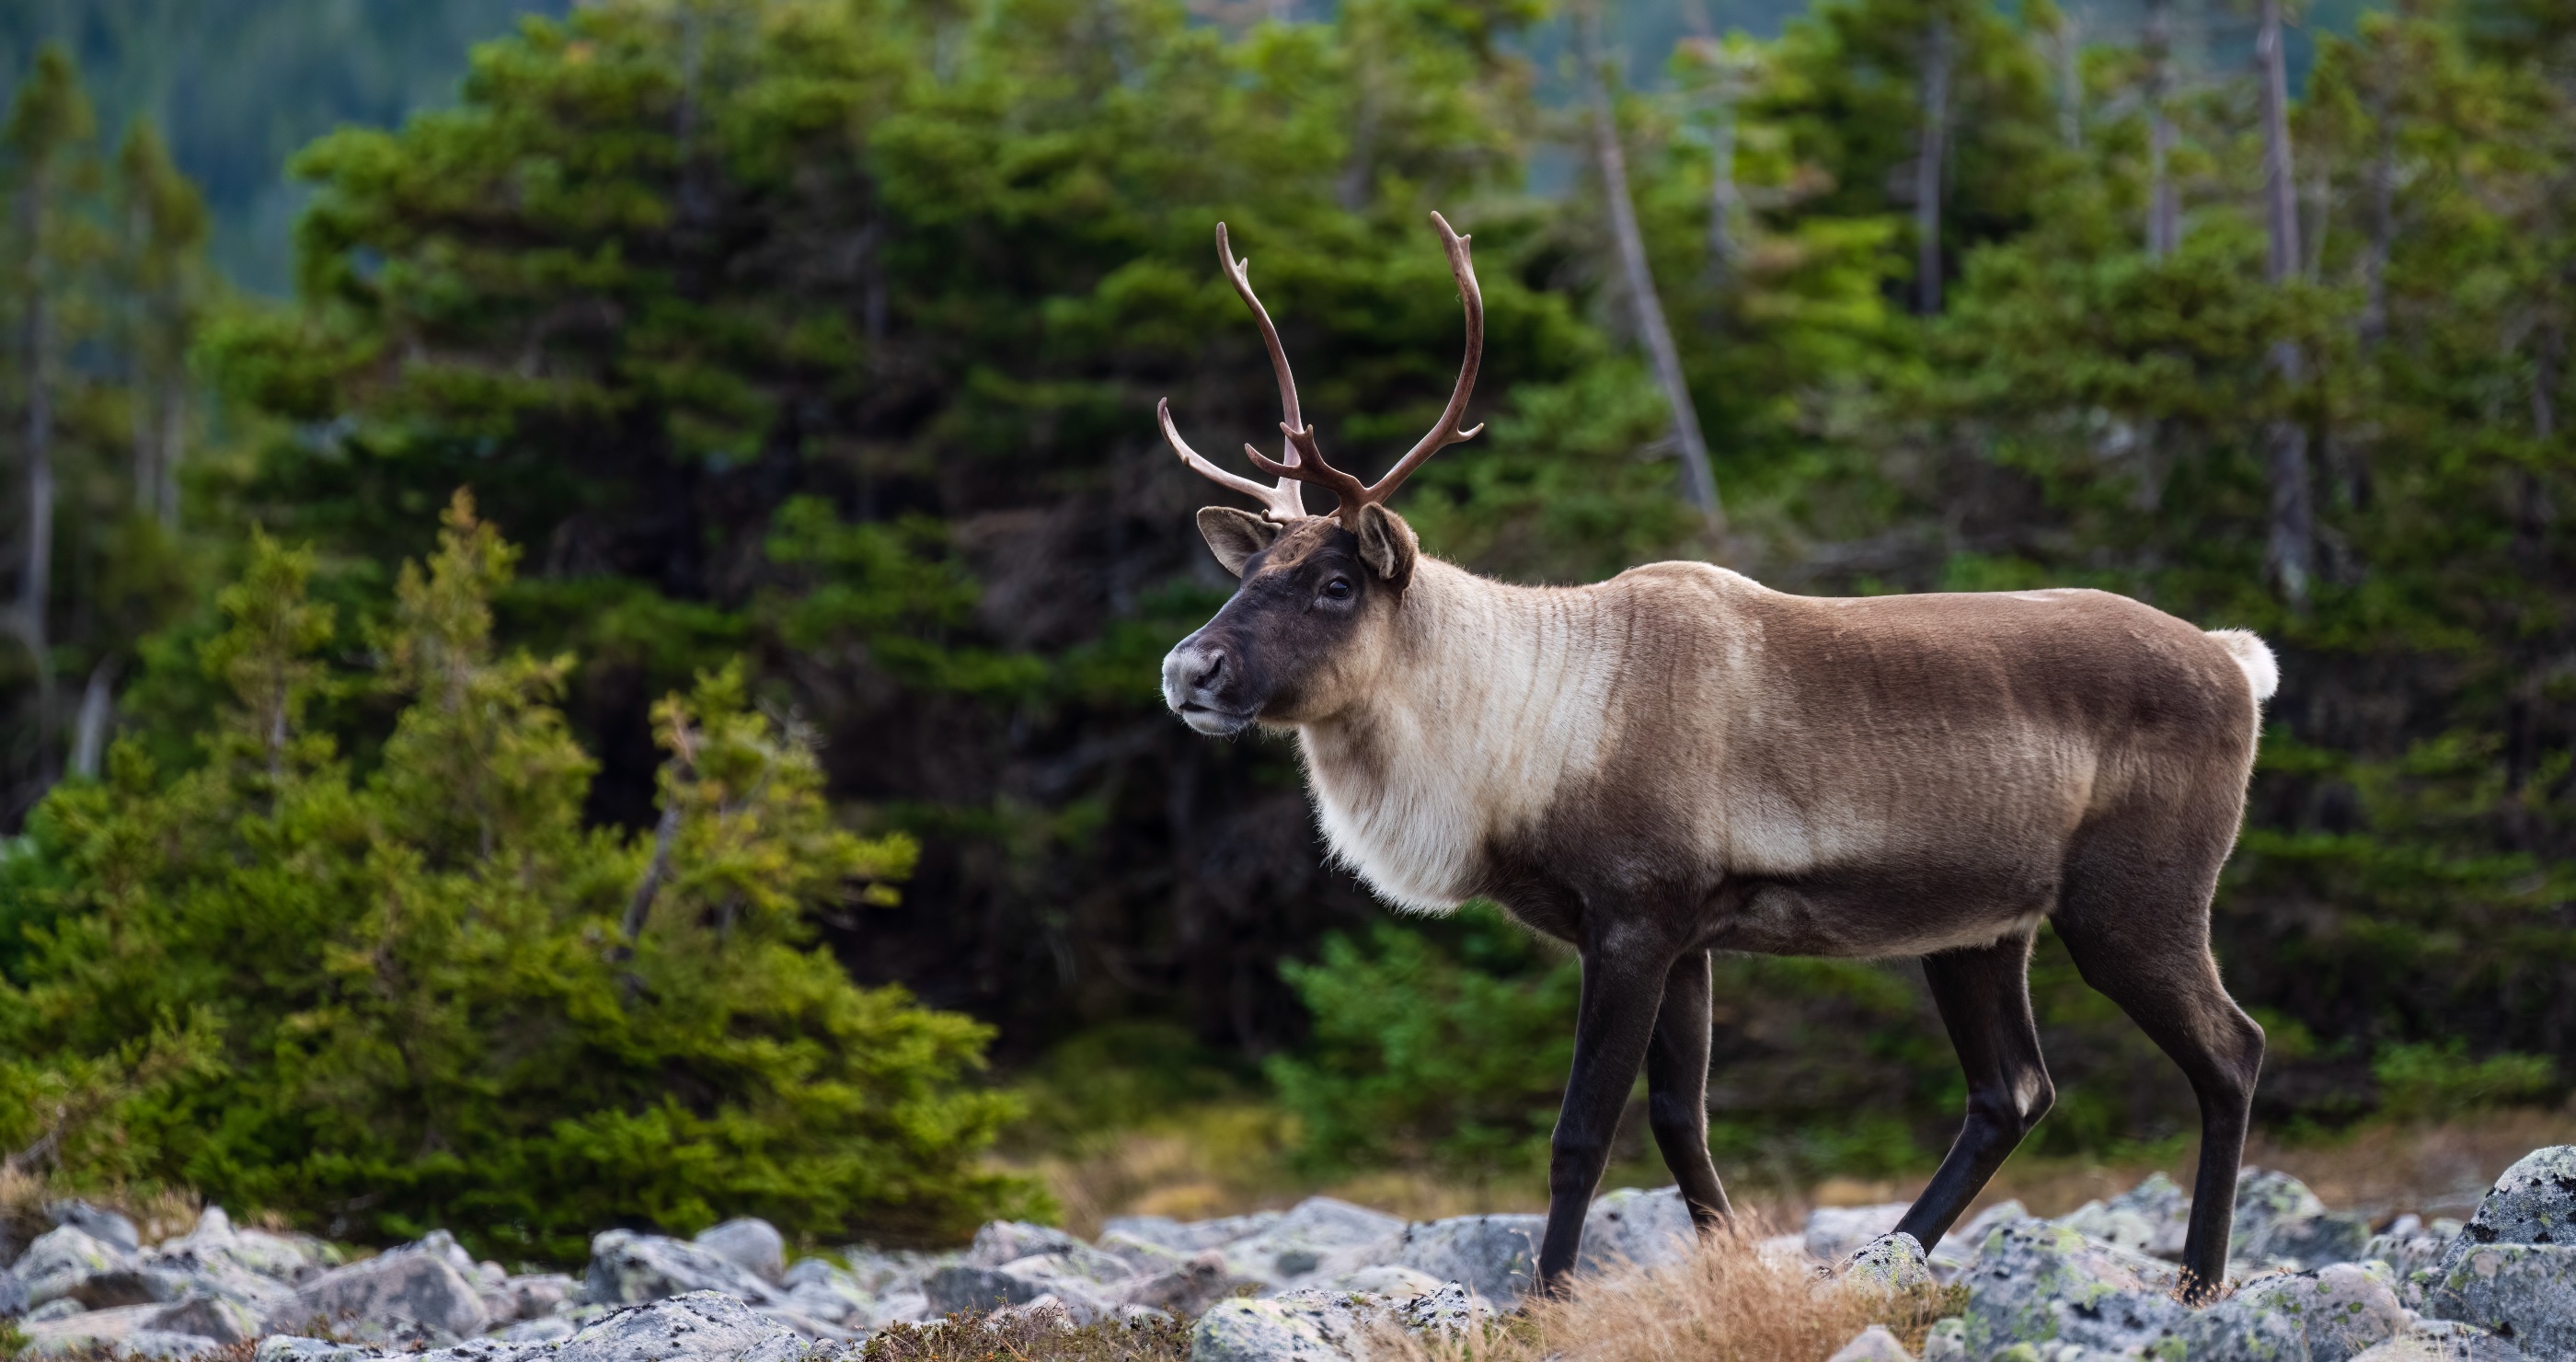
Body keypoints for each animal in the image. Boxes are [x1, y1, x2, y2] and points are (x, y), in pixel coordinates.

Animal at [1155, 213, 2277, 1304]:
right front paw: (1735, 1266)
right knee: (2012, 1092)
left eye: (1336, 583)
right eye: (1249, 569)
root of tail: (2236, 661)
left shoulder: (1635, 917)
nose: (1187, 668)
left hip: (2134, 900)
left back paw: (2198, 1283)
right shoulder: (1686, 937)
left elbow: (1582, 1133)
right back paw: (1879, 1264)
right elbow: (1678, 1121)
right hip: (1979, 927)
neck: (1522, 735)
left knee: (2231, 1050)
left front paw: (1547, 1301)